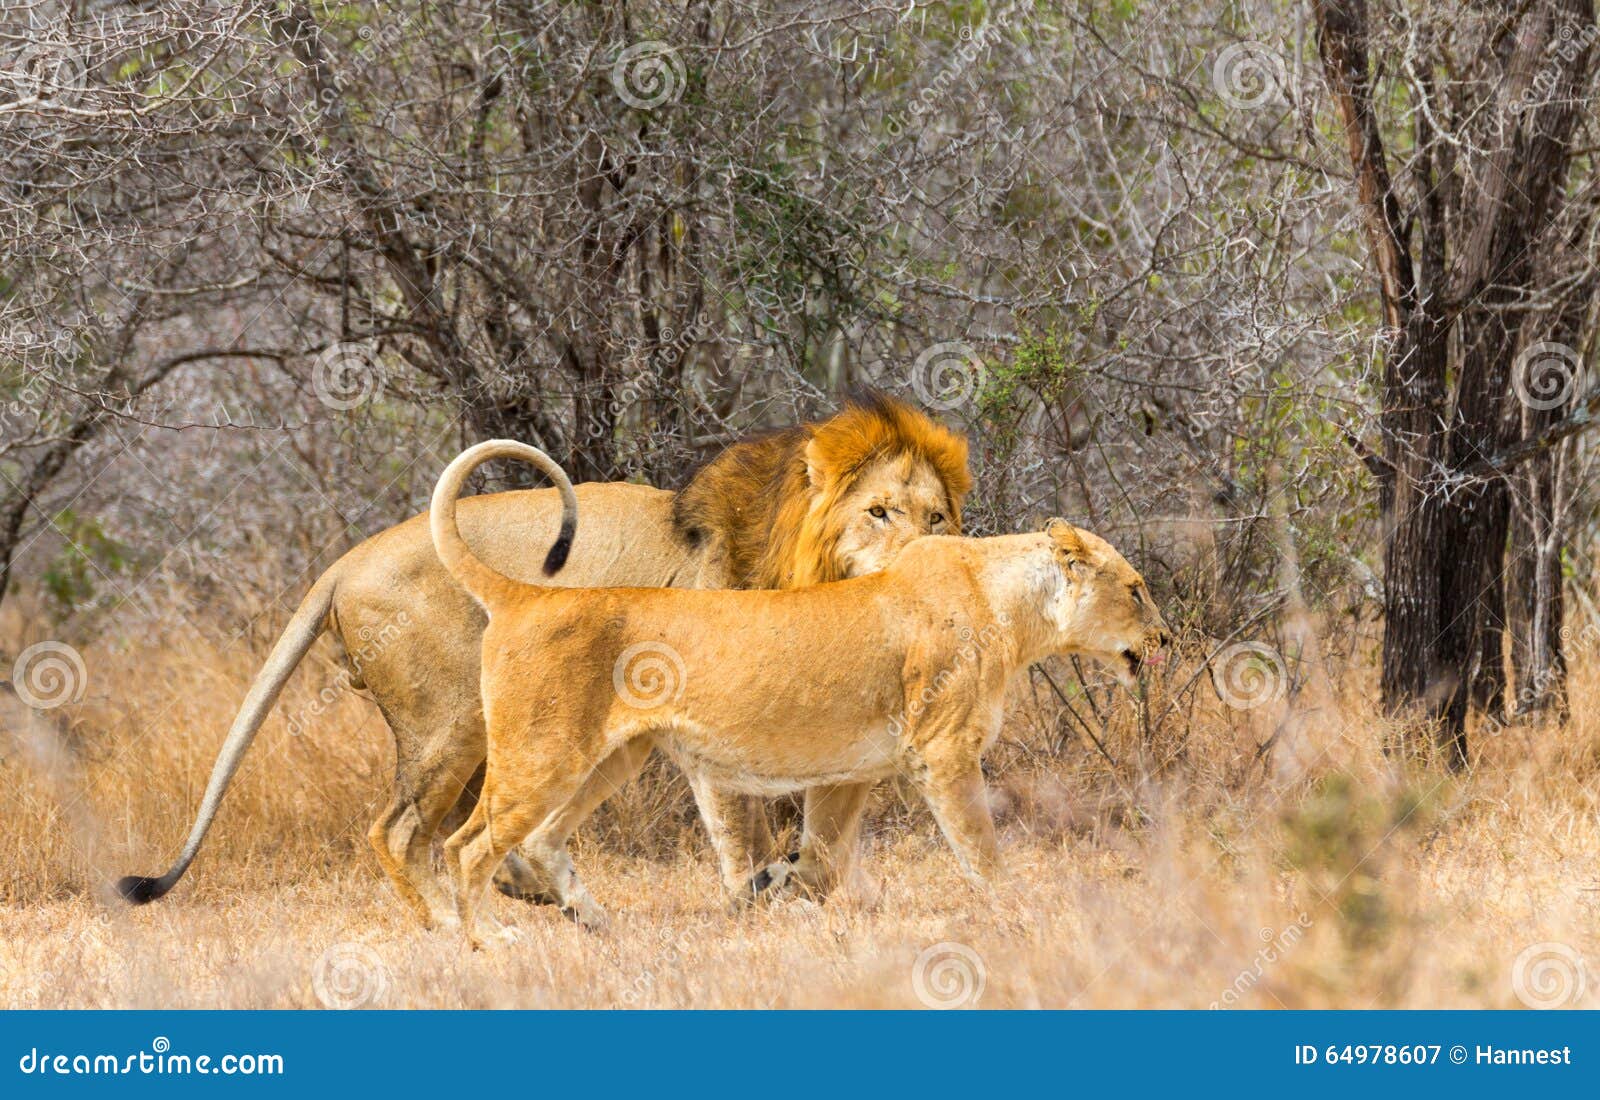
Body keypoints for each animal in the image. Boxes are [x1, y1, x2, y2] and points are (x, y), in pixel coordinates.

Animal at [118, 391, 972, 930]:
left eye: (936, 516)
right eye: (878, 512)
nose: (928, 556)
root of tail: (344, 562)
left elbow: (820, 854)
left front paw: (791, 892)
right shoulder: (718, 730)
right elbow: (746, 838)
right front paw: (760, 902)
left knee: (468, 834)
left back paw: (546, 902)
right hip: (457, 718)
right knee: (400, 833)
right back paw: (455, 928)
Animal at [426, 440, 1170, 944]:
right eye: (1136, 589)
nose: (1168, 638)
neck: (1011, 608)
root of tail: (525, 595)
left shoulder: (852, 769)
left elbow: (823, 862)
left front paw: (775, 886)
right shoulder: (944, 753)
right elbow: (981, 849)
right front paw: (1019, 913)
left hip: (610, 757)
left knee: (538, 839)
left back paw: (593, 918)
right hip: (543, 755)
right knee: (466, 847)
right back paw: (487, 942)